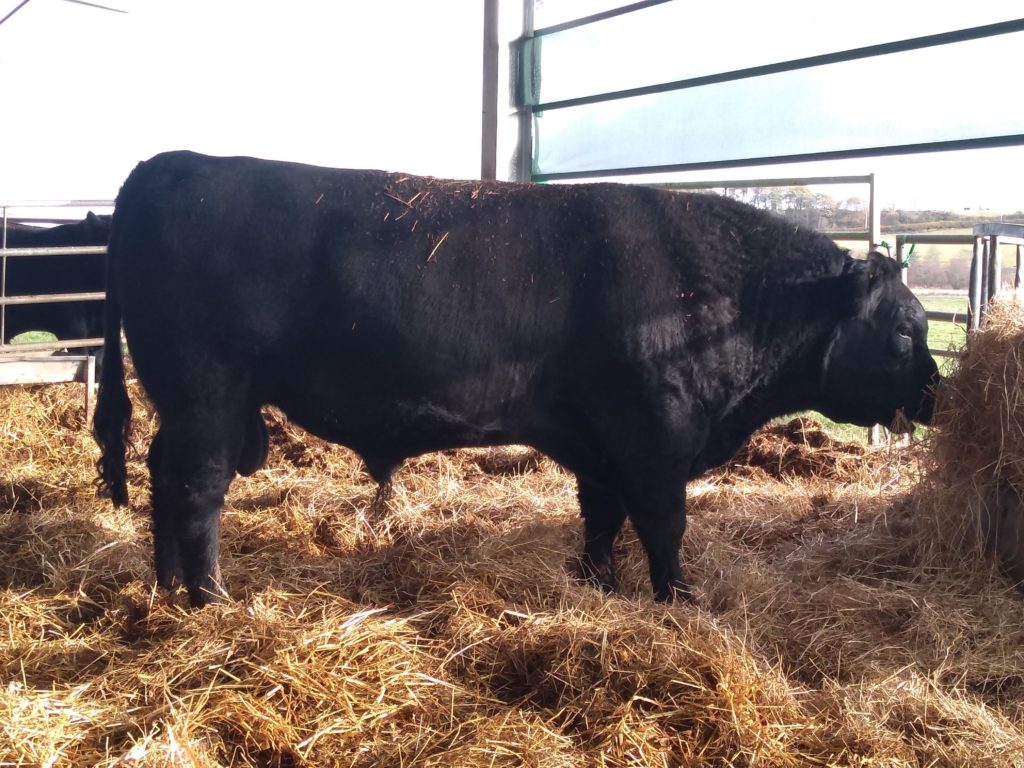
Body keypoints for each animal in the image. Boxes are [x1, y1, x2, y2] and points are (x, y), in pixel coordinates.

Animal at [93, 150, 940, 608]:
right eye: (906, 328)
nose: (938, 391)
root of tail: (166, 165)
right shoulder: (654, 440)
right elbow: (664, 525)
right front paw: (679, 598)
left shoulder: (603, 443)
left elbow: (600, 518)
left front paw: (598, 586)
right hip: (210, 388)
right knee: (197, 486)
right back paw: (211, 597)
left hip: (184, 397)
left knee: (163, 472)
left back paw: (166, 588)